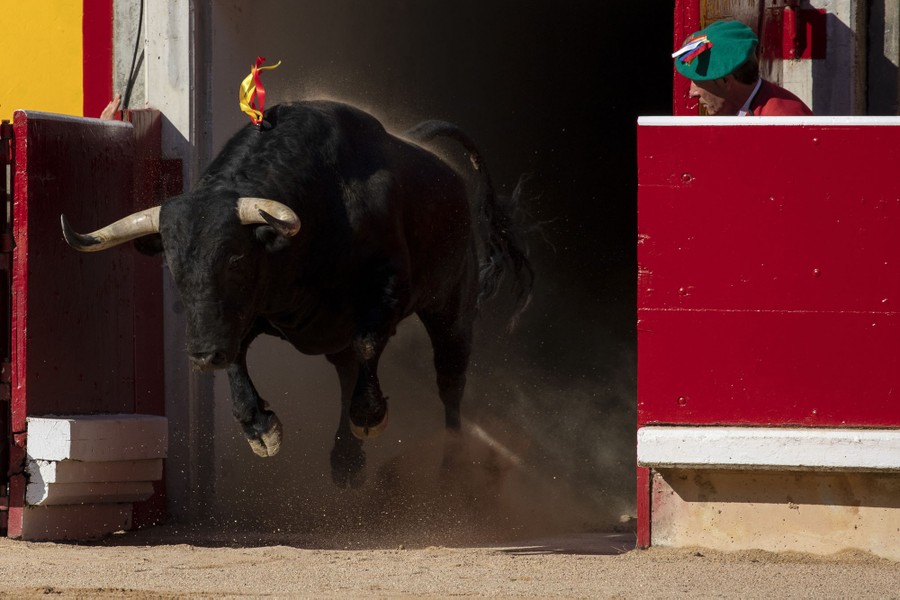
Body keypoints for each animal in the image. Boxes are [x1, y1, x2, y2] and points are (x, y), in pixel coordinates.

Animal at [60, 100, 533, 487]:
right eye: (174, 267)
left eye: (235, 259)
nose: (202, 356)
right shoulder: (256, 315)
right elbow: (239, 356)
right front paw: (260, 428)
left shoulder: (387, 289)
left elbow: (369, 343)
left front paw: (370, 415)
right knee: (347, 371)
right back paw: (347, 460)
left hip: (451, 308)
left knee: (449, 382)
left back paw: (451, 467)